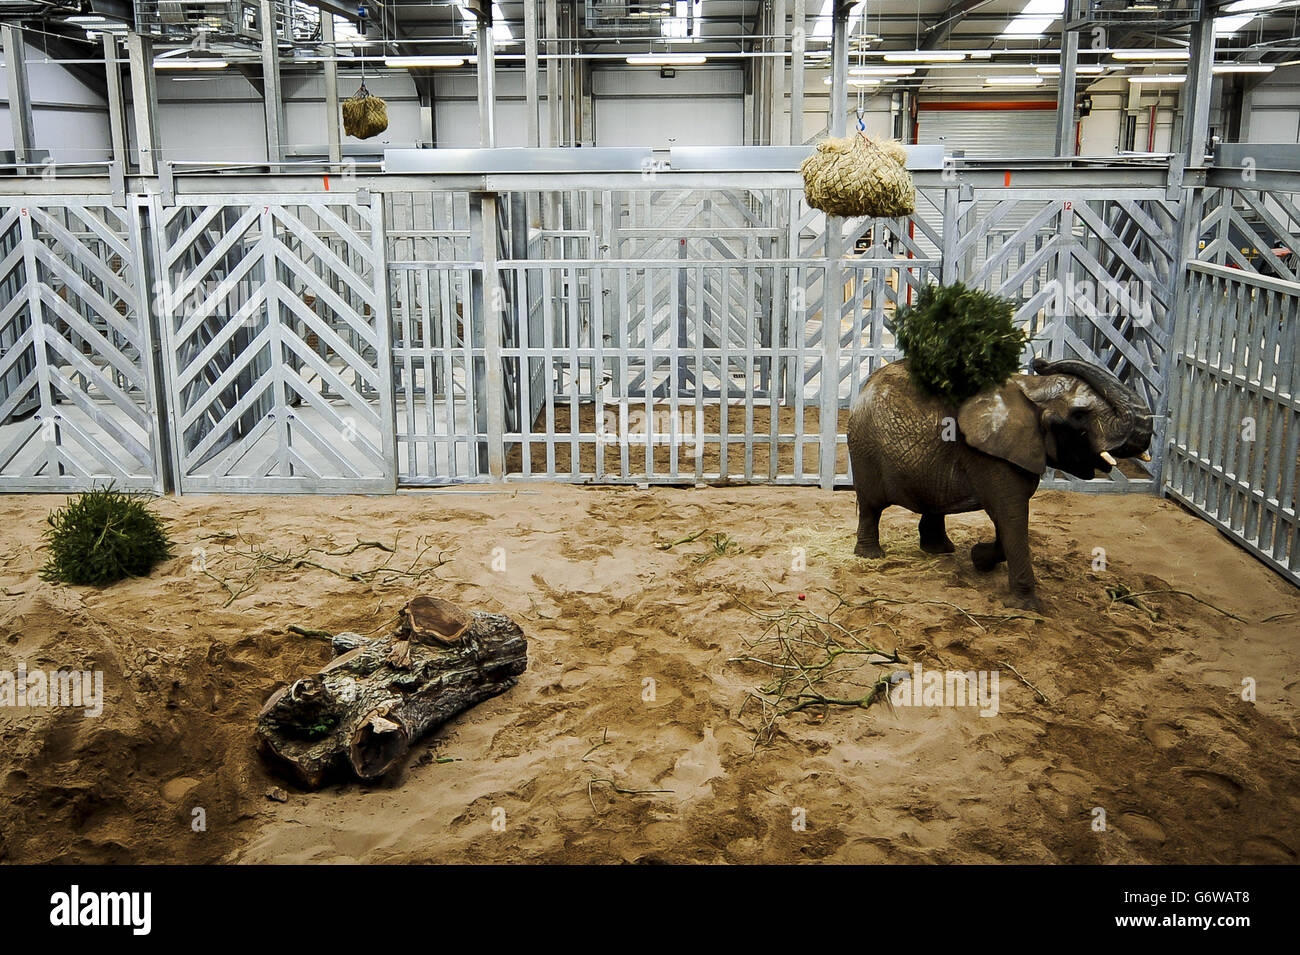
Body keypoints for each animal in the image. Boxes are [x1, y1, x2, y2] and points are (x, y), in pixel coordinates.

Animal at [847, 356, 1154, 611]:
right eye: (1079, 415)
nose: (1040, 361)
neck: (1033, 387)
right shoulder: (985, 454)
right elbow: (1011, 515)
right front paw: (1026, 608)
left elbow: (1006, 519)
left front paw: (978, 558)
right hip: (865, 449)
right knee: (872, 505)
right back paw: (871, 556)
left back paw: (940, 550)